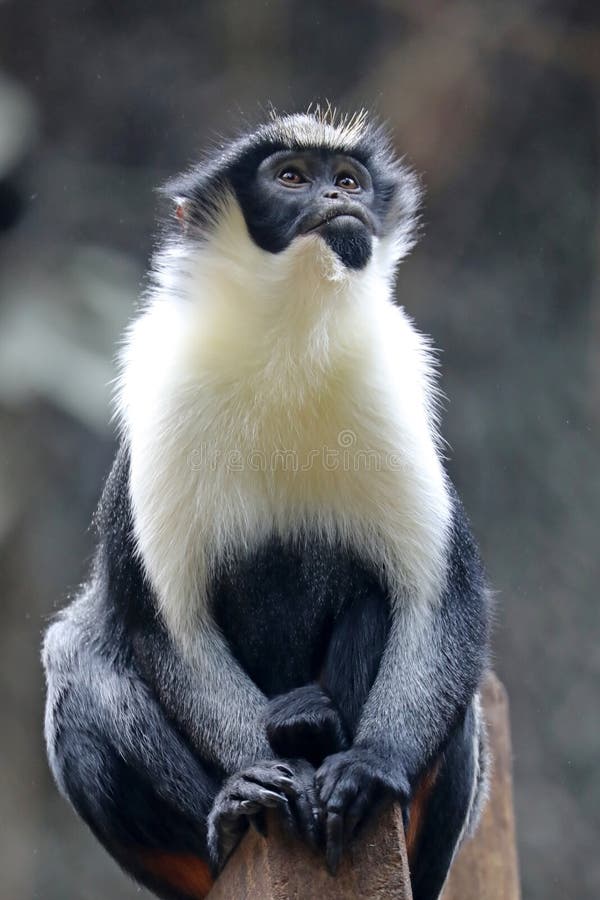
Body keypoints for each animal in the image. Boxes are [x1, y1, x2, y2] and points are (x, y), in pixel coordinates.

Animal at [43, 108, 490, 900]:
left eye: (349, 181)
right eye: (291, 177)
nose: (338, 200)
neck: (290, 344)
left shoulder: (396, 395)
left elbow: (443, 600)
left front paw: (368, 766)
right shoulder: (161, 409)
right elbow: (171, 633)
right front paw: (257, 778)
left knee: (380, 602)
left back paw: (323, 743)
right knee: (76, 655)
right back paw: (235, 810)